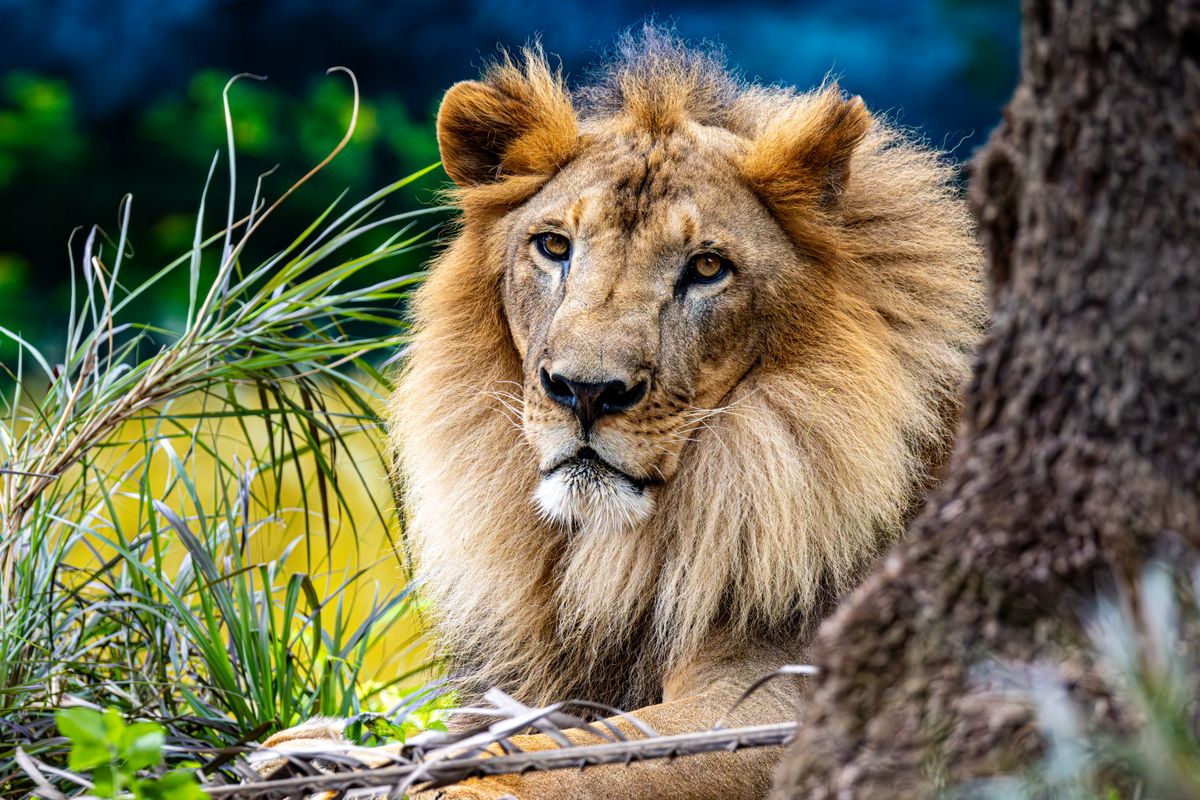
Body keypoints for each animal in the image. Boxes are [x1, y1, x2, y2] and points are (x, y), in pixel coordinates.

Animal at [262, 27, 985, 799]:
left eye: (707, 267)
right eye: (554, 246)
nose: (585, 391)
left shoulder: (789, 700)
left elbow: (579, 753)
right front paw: (320, 749)